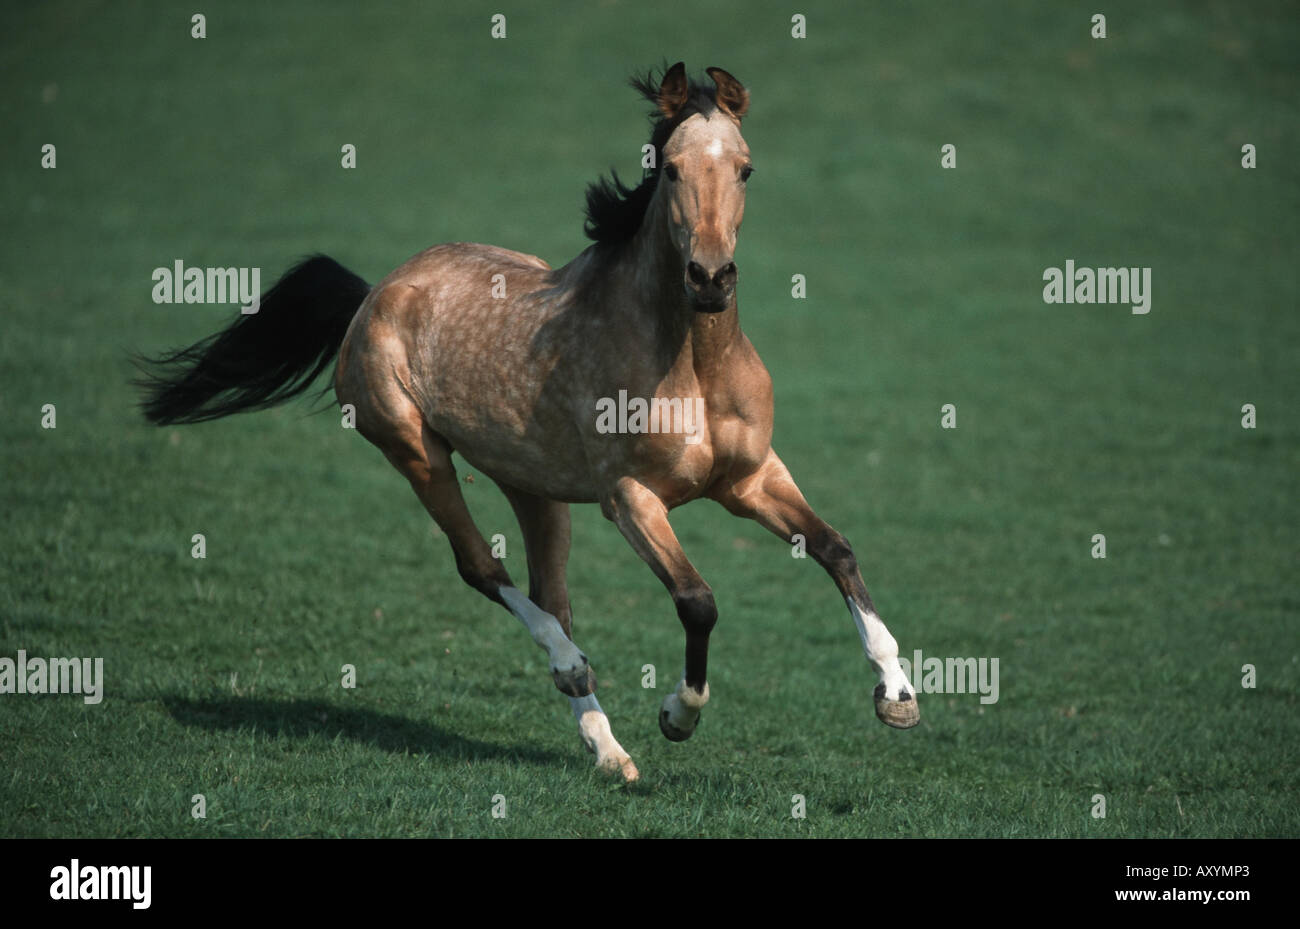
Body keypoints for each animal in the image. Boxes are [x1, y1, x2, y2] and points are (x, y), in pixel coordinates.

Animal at [136, 62, 919, 783]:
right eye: (669, 168)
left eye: (747, 168)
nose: (709, 278)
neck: (692, 360)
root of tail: (374, 294)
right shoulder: (630, 497)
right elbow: (697, 600)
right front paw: (677, 714)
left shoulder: (753, 478)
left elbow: (836, 549)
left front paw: (898, 695)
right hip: (417, 453)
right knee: (482, 567)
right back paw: (574, 671)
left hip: (534, 488)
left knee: (552, 595)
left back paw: (607, 749)